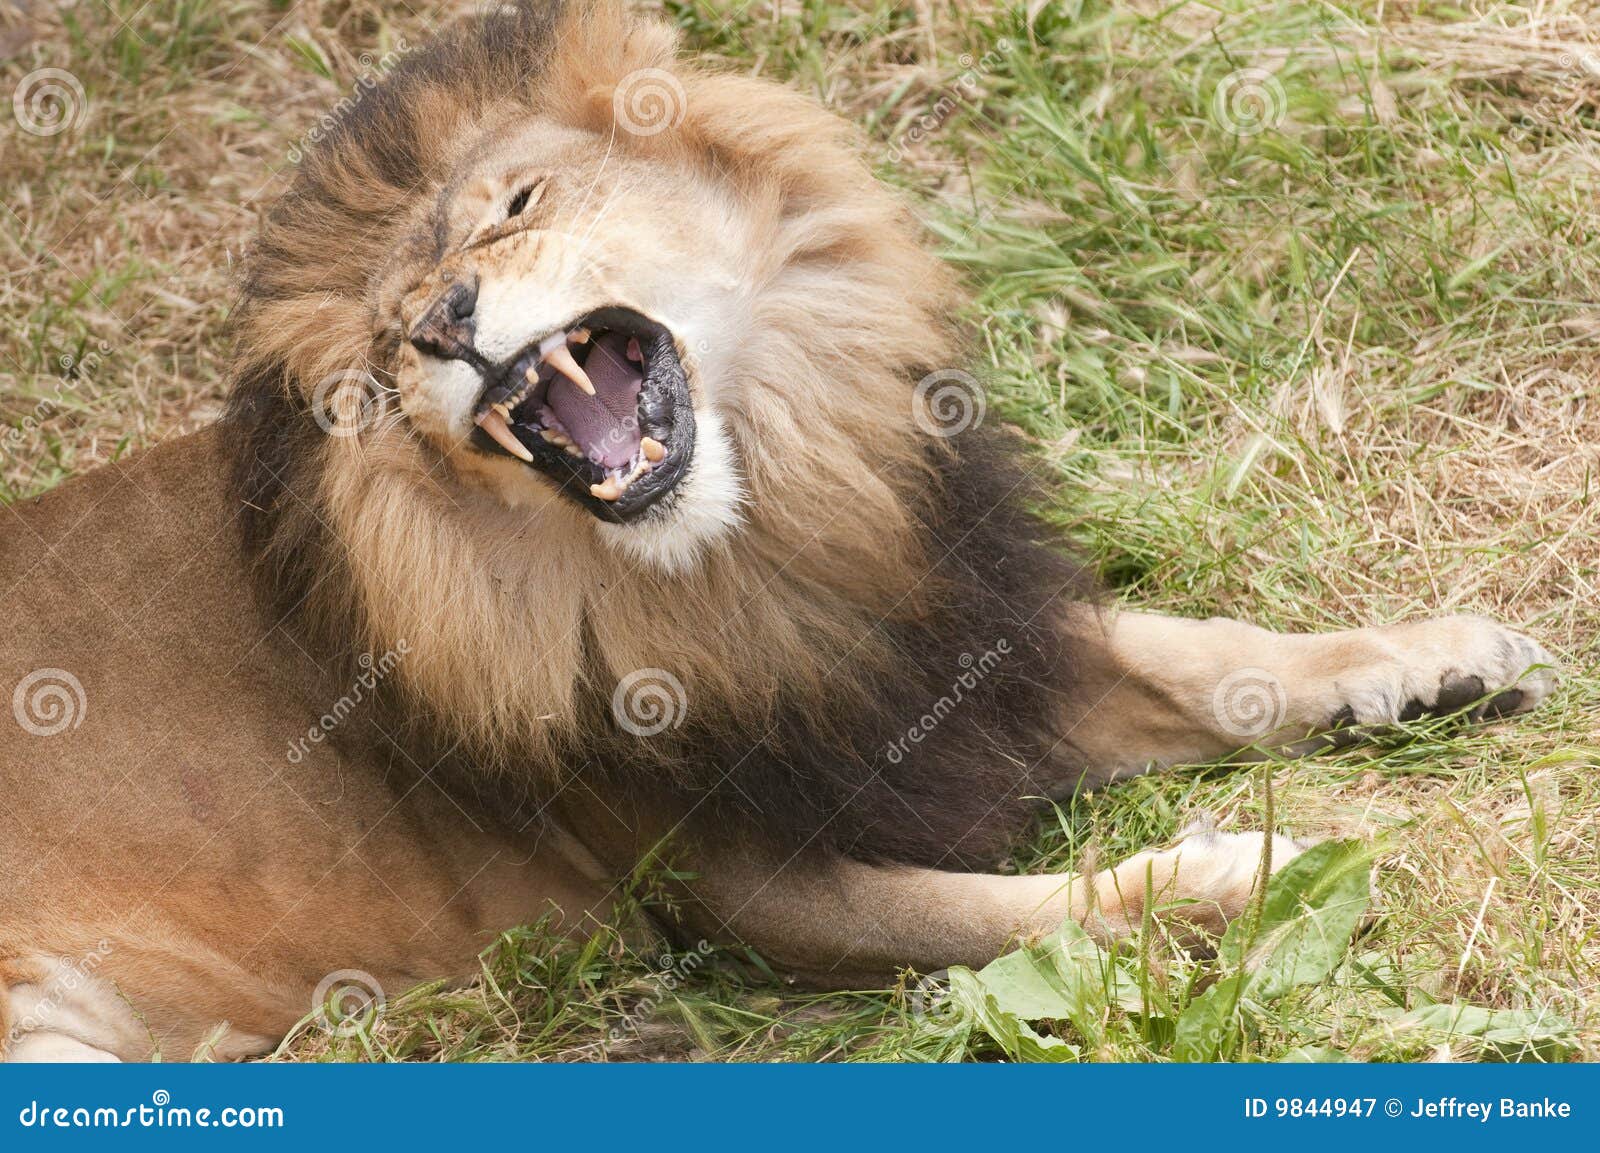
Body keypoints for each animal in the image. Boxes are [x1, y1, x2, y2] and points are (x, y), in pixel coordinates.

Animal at [0, 1, 1557, 1062]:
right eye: (384, 355)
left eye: (513, 207)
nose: (443, 324)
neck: (746, 548)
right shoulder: (731, 881)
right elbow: (1017, 916)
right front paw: (1250, 874)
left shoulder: (940, 646)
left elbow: (1199, 652)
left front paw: (1423, 655)